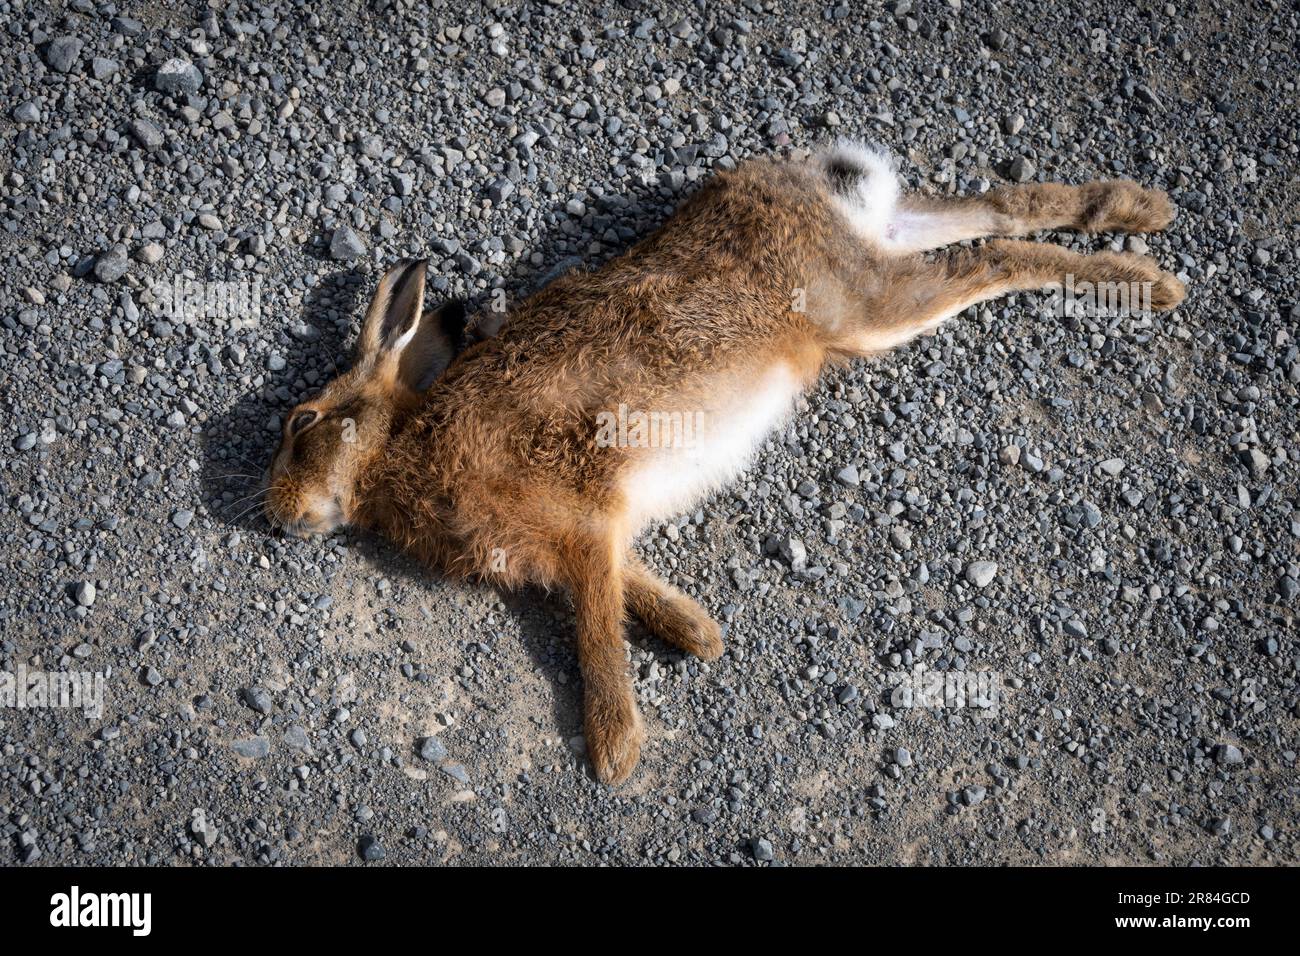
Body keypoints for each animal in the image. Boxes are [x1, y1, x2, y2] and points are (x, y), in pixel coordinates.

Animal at [265, 140, 1184, 784]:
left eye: (301, 421)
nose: (275, 511)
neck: (401, 450)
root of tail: (815, 184)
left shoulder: (581, 515)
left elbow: (594, 622)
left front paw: (615, 751)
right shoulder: (589, 534)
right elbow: (626, 588)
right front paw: (698, 634)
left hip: (860, 310)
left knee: (988, 258)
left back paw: (1148, 281)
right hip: (871, 267)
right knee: (987, 209)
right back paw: (1139, 208)